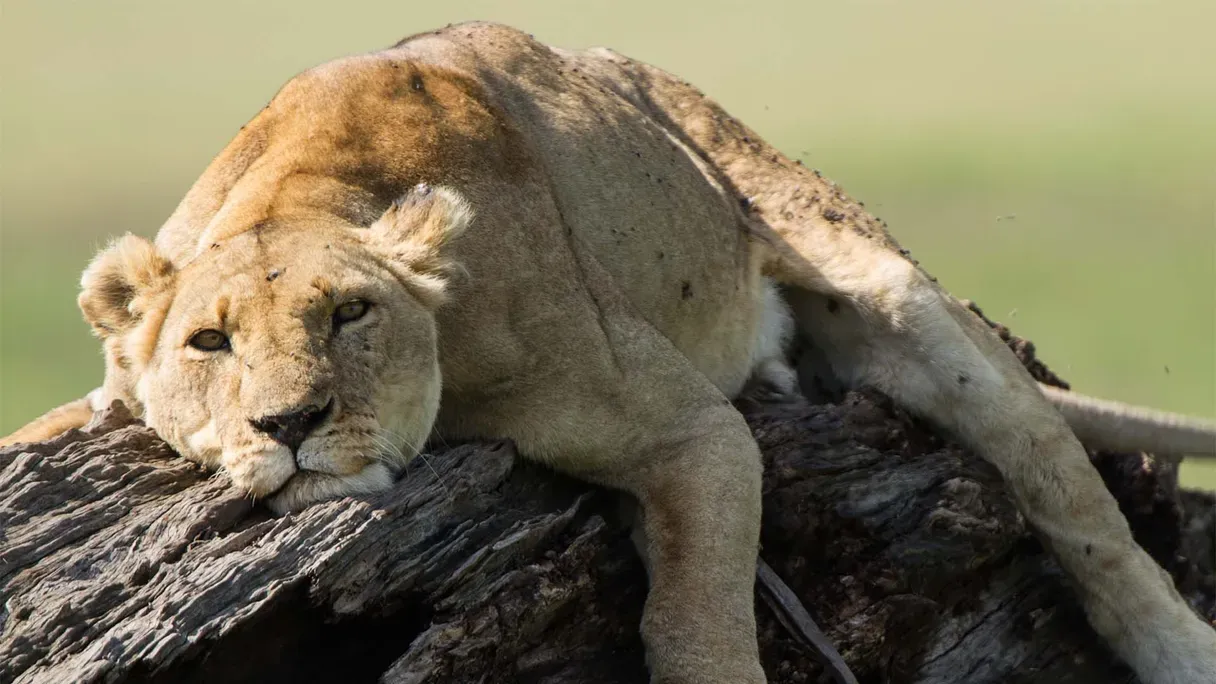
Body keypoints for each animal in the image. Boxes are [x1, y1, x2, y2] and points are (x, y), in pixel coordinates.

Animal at [3, 21, 1214, 684]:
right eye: (208, 341)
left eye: (350, 314)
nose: (289, 427)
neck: (305, 188)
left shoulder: (688, 428)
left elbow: (696, 617)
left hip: (868, 270)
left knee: (1074, 498)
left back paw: (1176, 646)